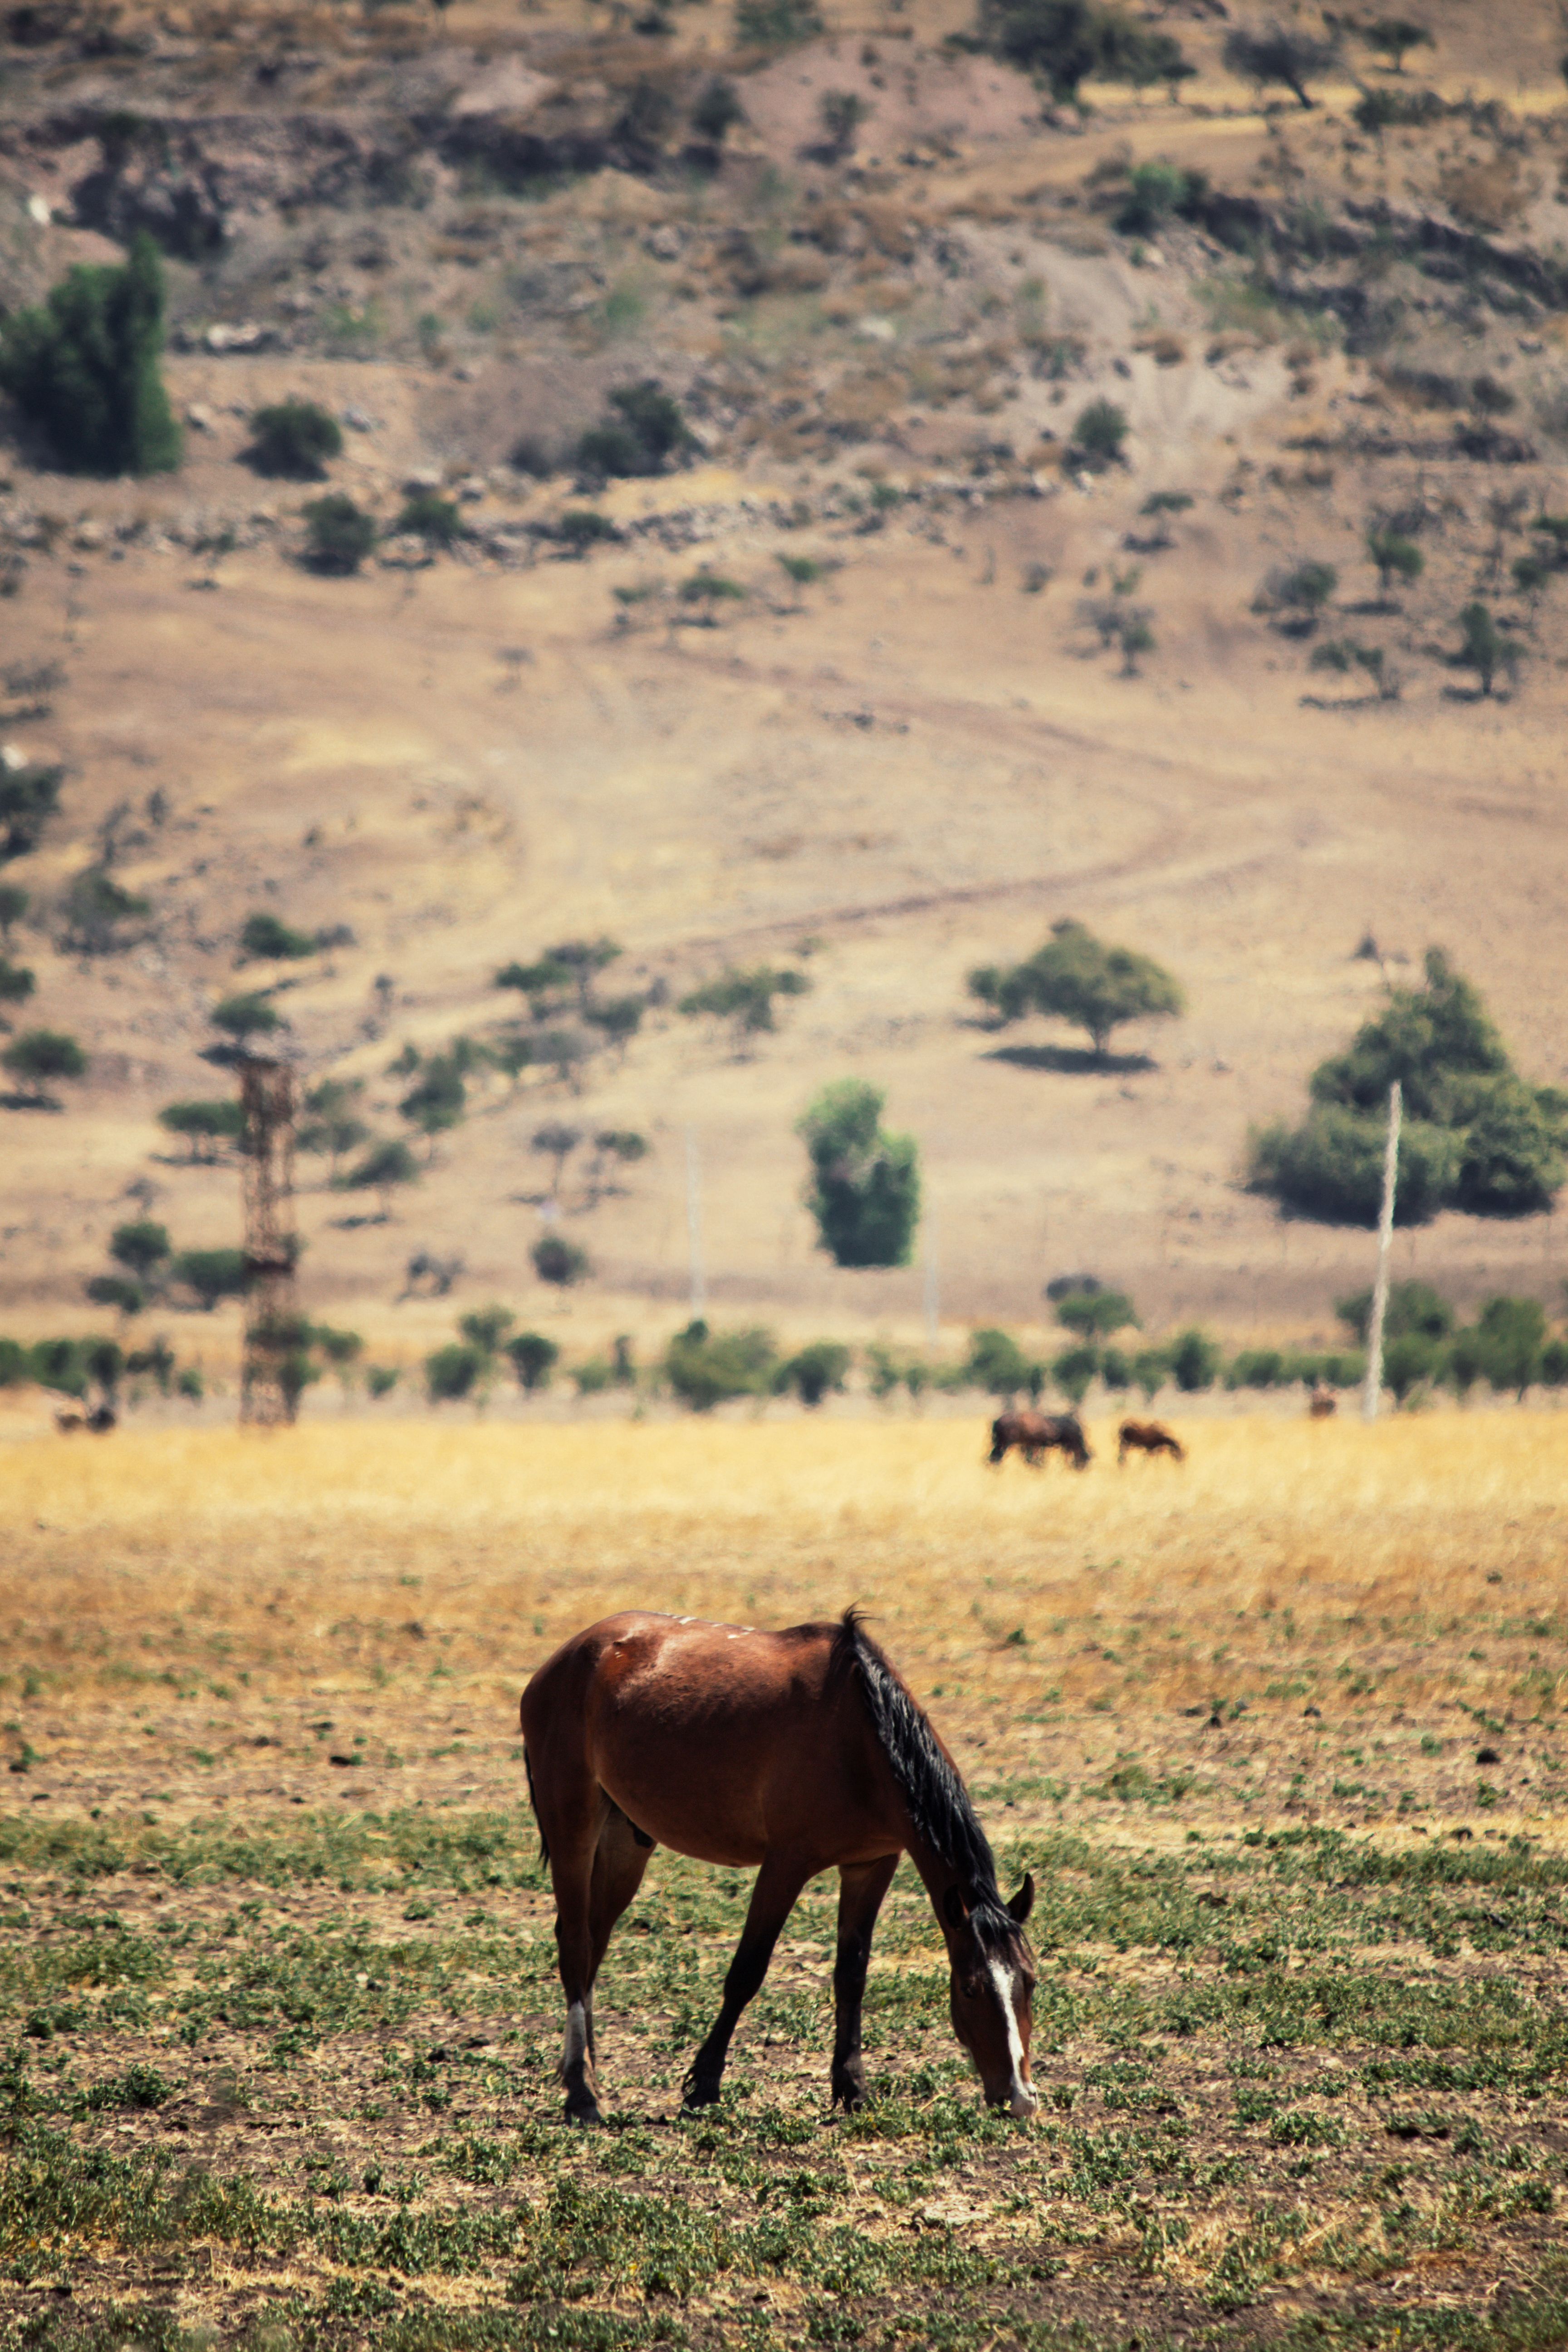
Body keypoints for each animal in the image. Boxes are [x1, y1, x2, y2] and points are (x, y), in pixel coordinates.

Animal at [520, 1608, 1037, 2126]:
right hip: (574, 1827)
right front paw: (703, 2085)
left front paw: (852, 2088)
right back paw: (581, 2093)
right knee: (576, 1947)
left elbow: (851, 1976)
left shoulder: (871, 1864)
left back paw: (589, 2074)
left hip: (626, 1842)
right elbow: (747, 1972)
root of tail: (569, 1656)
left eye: (1030, 1982)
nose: (1020, 2097)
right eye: (970, 1989)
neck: (858, 1737)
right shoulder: (785, 1864)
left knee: (594, 1945)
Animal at [987, 1408, 1091, 1470]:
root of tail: (997, 1422)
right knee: (997, 1456)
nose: (1082, 1469)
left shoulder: (1037, 1445)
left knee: (994, 1456)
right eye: (1085, 1460)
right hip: (1005, 1444)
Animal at [1117, 1418, 1185, 1464]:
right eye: (1178, 1454)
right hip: (1125, 1443)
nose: (1180, 1463)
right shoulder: (1150, 1449)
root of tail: (1123, 1427)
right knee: (1122, 1455)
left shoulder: (1153, 1449)